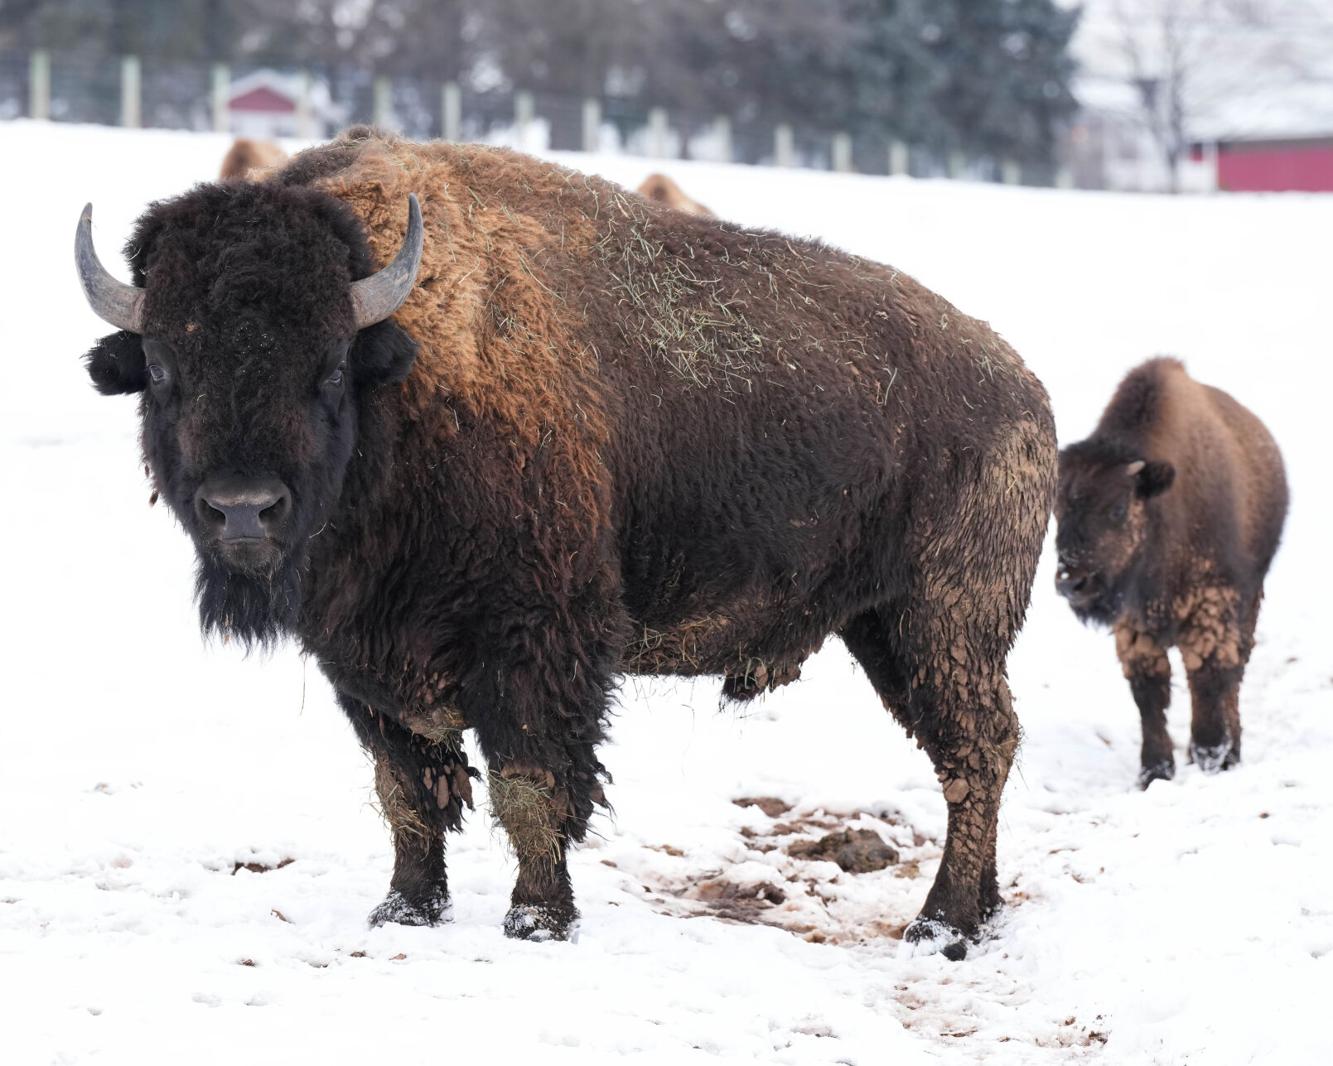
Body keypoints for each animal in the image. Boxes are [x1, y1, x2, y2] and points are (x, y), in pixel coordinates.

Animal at [76, 127, 1055, 956]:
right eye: (161, 366)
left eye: (327, 367)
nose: (243, 510)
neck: (405, 377)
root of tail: (1021, 388)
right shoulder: (363, 661)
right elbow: (408, 789)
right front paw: (404, 910)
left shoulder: (536, 641)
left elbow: (527, 784)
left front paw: (537, 920)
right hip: (883, 629)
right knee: (970, 755)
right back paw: (978, 911)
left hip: (943, 623)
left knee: (975, 754)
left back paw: (939, 925)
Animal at [1055, 358, 1287, 787]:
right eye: (1056, 509)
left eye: (1117, 508)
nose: (1072, 581)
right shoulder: (1136, 625)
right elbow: (1149, 693)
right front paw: (1154, 772)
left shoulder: (1212, 606)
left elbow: (1208, 680)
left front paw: (1211, 756)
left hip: (1249, 601)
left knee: (1233, 674)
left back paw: (1228, 753)